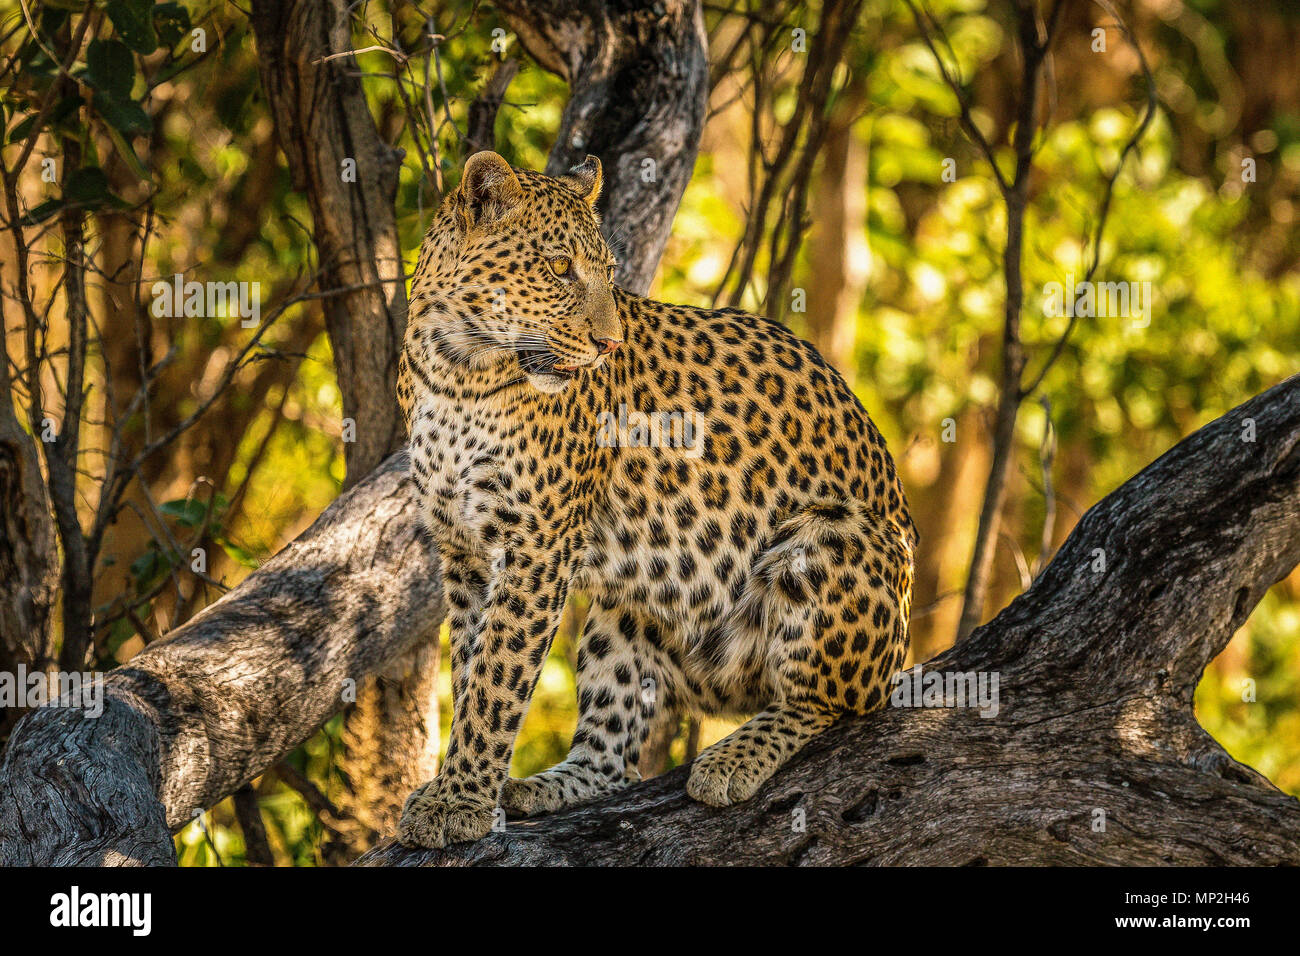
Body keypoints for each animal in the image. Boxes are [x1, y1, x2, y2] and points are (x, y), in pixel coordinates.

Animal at [395, 149, 916, 849]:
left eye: (610, 274)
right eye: (559, 268)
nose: (609, 344)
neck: (457, 368)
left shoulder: (536, 547)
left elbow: (496, 681)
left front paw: (458, 800)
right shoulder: (464, 548)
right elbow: (472, 664)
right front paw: (464, 789)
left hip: (832, 536)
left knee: (835, 699)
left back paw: (732, 760)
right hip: (626, 607)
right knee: (613, 758)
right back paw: (545, 787)